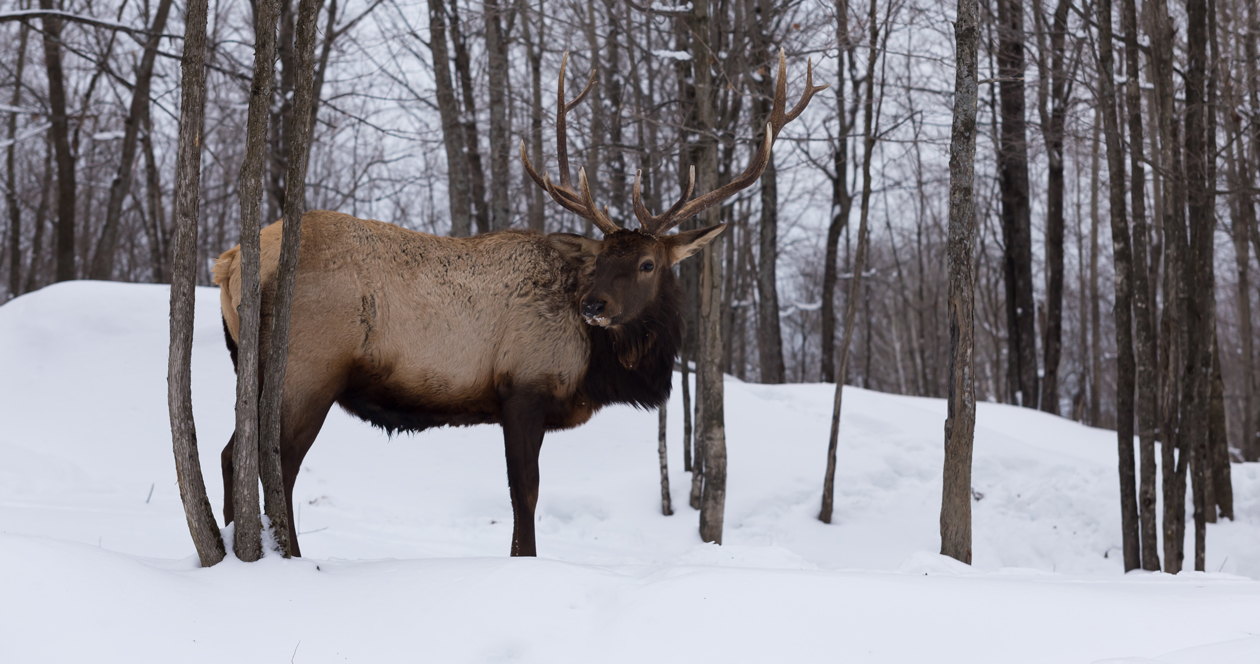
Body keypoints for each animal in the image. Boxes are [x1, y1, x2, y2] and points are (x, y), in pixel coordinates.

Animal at [213, 50, 824, 557]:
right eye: (602, 258)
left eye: (647, 263)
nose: (593, 306)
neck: (598, 368)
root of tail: (229, 261)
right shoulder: (524, 387)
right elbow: (524, 493)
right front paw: (524, 561)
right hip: (308, 366)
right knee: (271, 460)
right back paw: (289, 556)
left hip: (258, 364)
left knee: (235, 456)